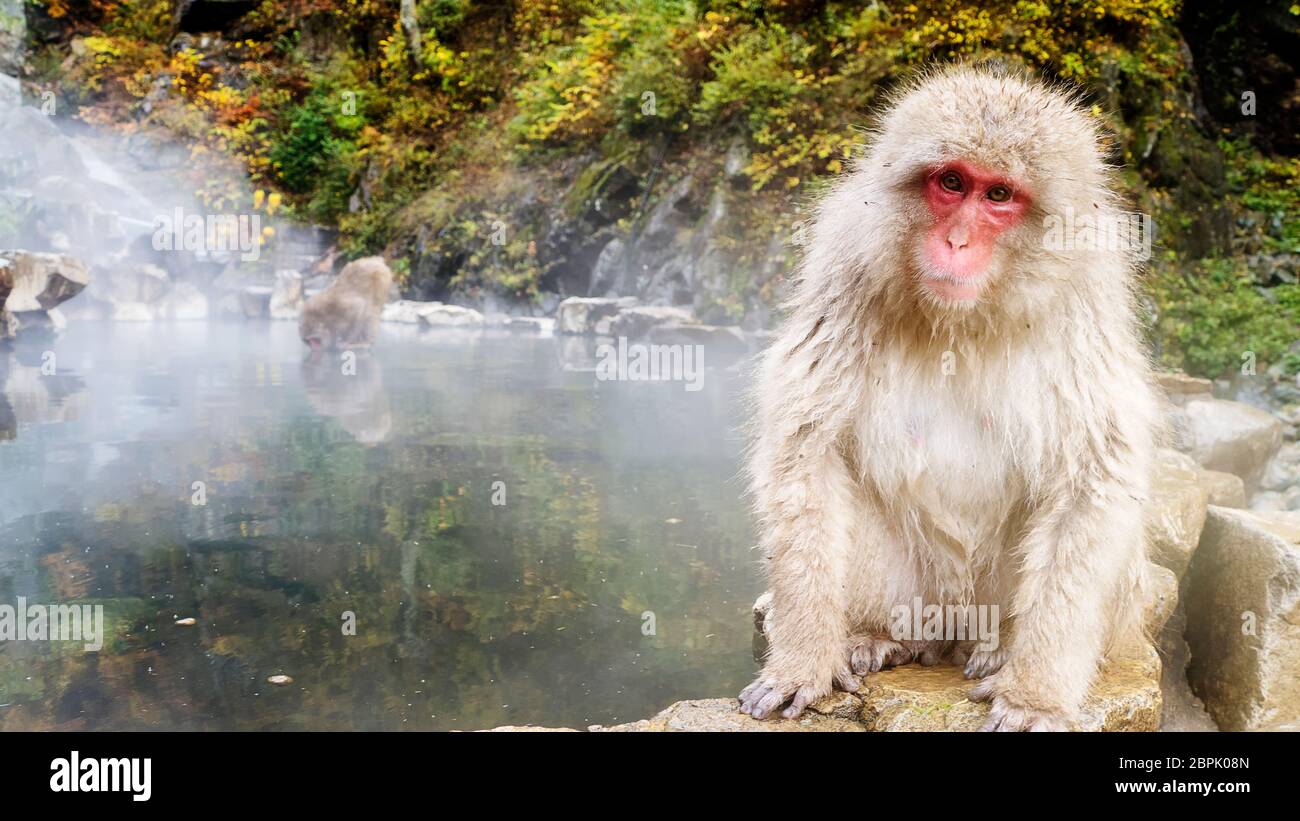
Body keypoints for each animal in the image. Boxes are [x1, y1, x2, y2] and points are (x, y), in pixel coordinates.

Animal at [738, 65, 1159, 731]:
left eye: (999, 196)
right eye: (952, 182)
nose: (957, 241)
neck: (965, 319)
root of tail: (955, 626)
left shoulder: (1086, 301)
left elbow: (1096, 475)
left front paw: (1036, 694)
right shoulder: (844, 270)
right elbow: (806, 450)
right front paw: (803, 660)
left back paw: (1002, 650)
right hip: (919, 590)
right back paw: (878, 636)